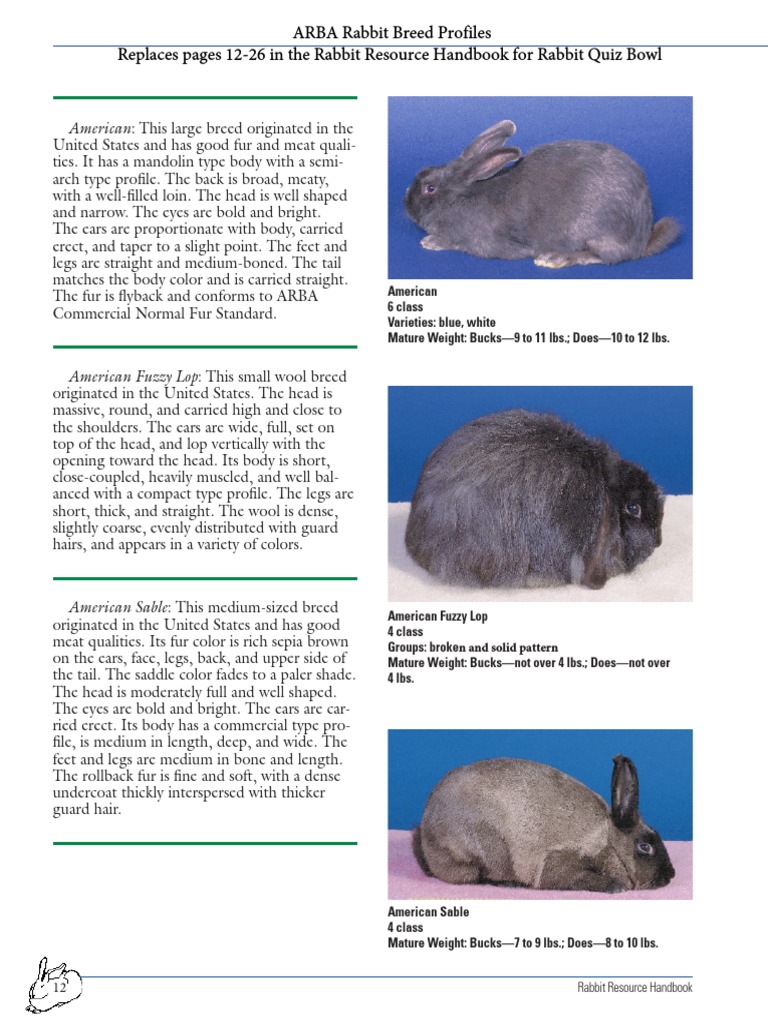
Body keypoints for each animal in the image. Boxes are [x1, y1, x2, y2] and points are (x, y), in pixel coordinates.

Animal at [404, 120, 680, 267]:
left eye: (430, 188)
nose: (406, 201)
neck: (462, 196)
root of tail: (641, 238)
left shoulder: (482, 242)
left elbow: (457, 243)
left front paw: (432, 241)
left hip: (597, 232)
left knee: (605, 256)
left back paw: (554, 258)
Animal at [413, 754, 676, 892]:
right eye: (645, 847)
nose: (671, 874)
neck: (609, 841)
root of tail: (425, 832)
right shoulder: (560, 861)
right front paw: (614, 886)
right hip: (490, 847)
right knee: (478, 876)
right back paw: (511, 884)